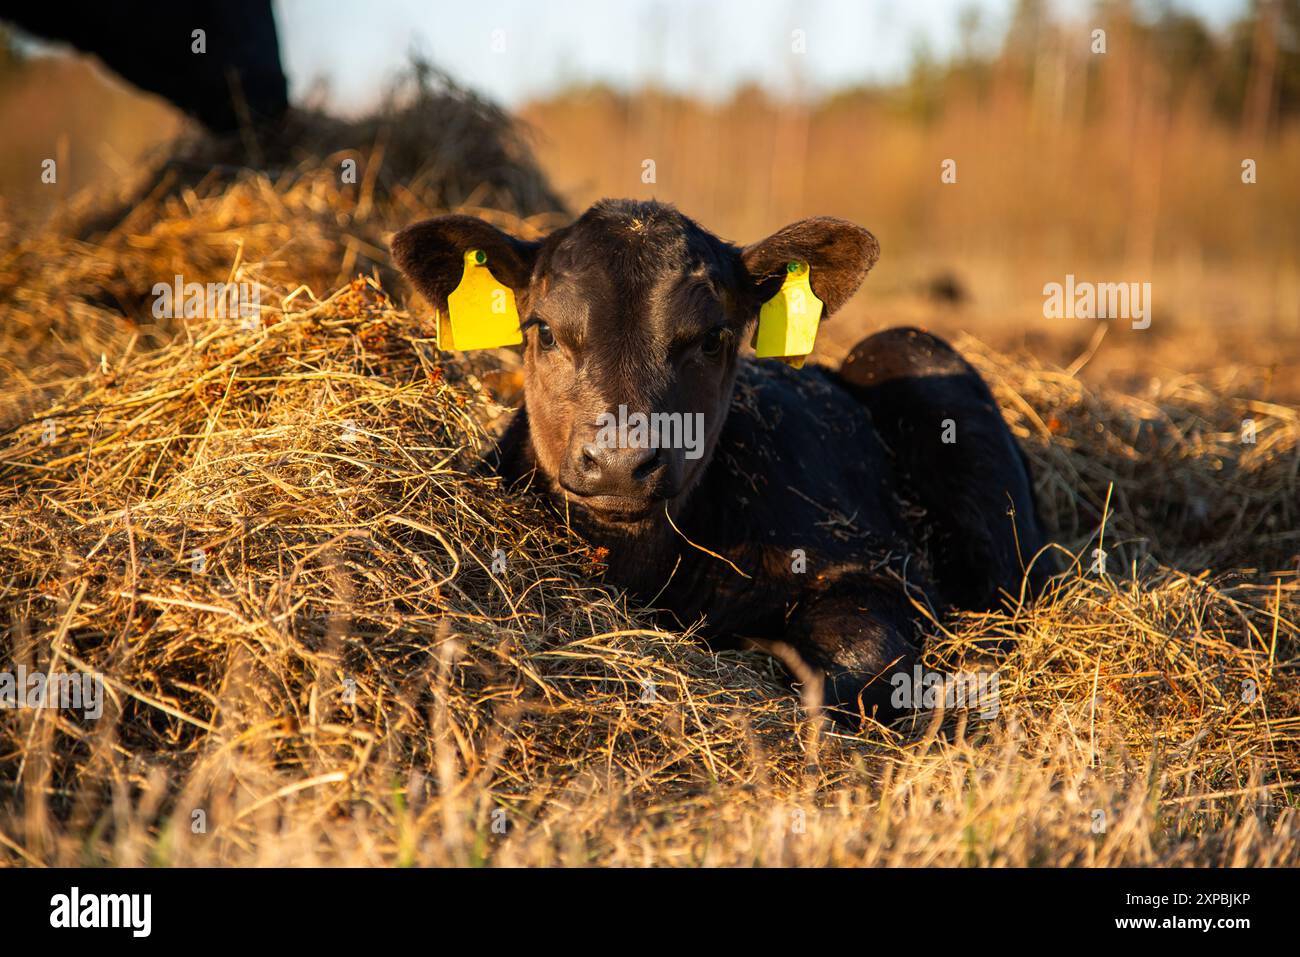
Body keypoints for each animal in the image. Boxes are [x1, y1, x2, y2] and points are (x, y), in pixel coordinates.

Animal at [392, 199, 1053, 725]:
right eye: (545, 331)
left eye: (712, 338)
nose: (620, 460)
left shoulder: (882, 569)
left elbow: (861, 658)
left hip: (912, 357)